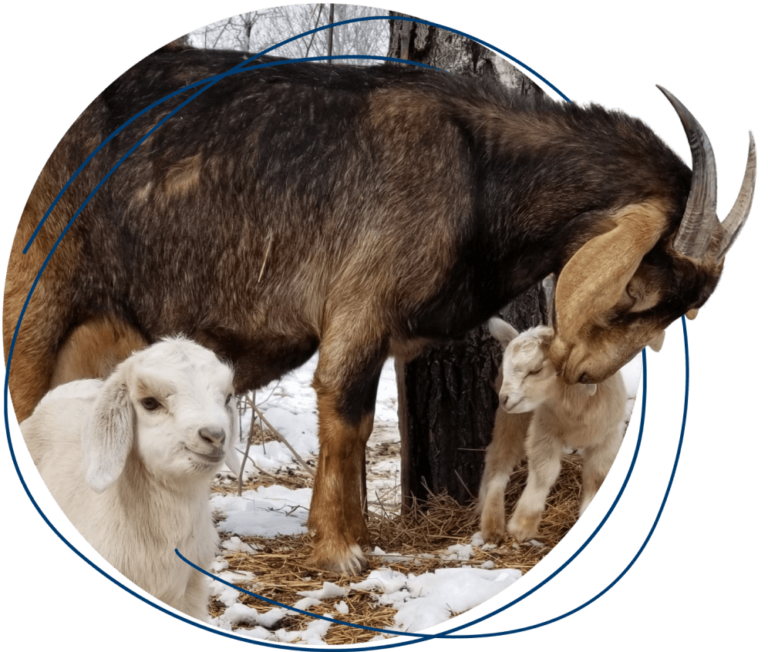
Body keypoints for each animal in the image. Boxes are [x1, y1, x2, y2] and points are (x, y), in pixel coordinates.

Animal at [478, 317, 626, 544]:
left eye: (535, 370)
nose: (505, 399)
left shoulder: (608, 437)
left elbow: (596, 476)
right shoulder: (544, 430)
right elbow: (544, 472)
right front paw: (522, 526)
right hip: (512, 419)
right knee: (498, 461)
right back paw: (492, 525)